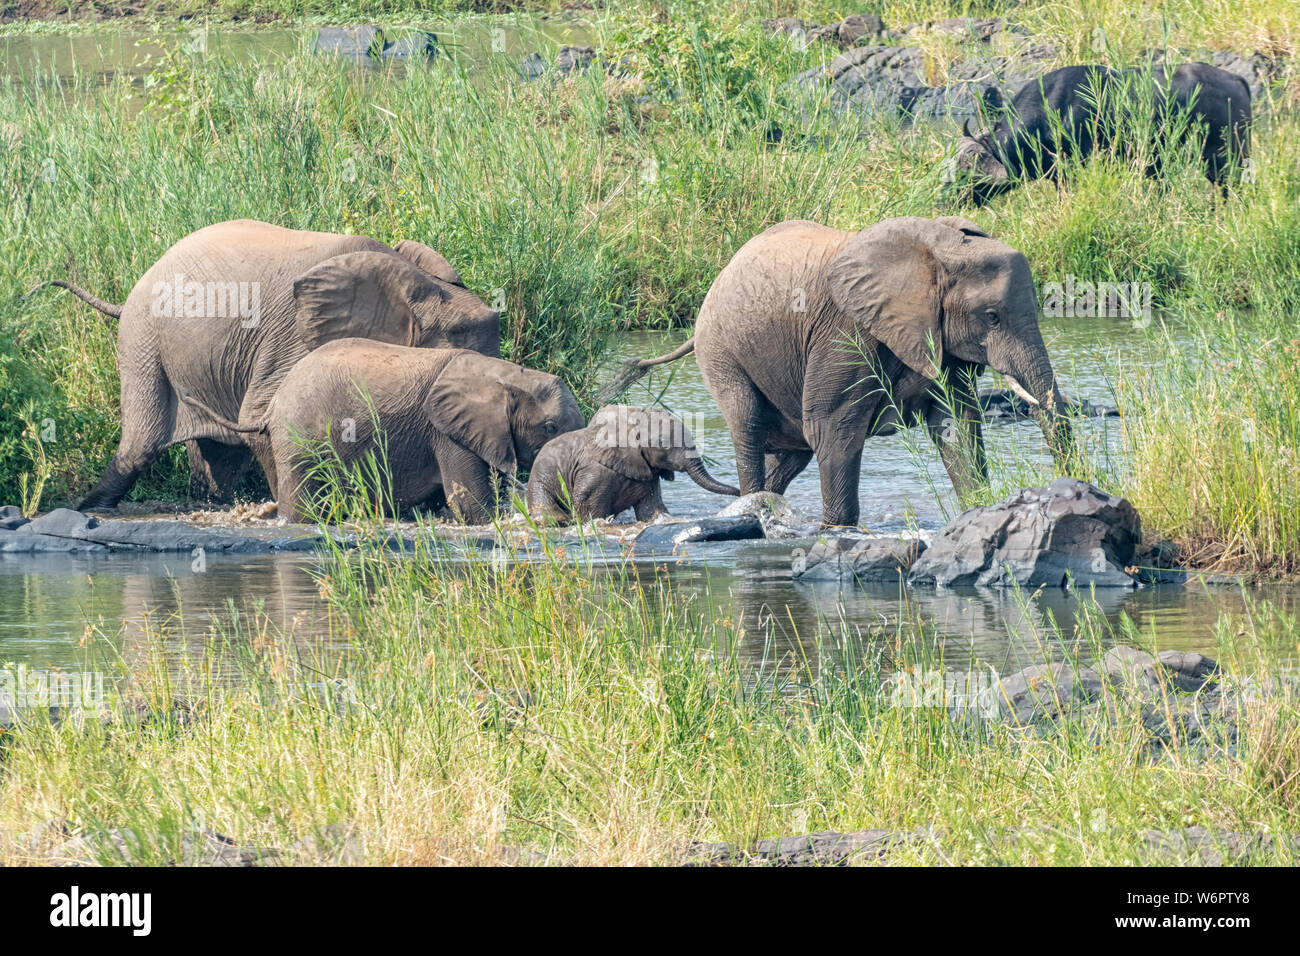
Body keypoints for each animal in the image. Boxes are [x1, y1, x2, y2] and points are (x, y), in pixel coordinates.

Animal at [54, 219, 500, 510]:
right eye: (457, 337)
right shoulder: (293, 336)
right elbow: (262, 416)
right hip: (142, 337)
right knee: (140, 447)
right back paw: (87, 509)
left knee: (219, 459)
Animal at [178, 339, 585, 524]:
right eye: (549, 427)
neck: (506, 374)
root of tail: (275, 403)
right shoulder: (446, 431)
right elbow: (468, 504)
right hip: (301, 437)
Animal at [525, 406, 740, 522]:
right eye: (664, 445)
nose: (739, 491)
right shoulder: (596, 471)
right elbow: (587, 506)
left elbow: (651, 510)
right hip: (541, 478)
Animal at [609, 216, 1074, 528]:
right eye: (992, 317)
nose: (1071, 480)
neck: (936, 250)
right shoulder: (846, 331)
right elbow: (834, 428)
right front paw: (838, 529)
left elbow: (957, 426)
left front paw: (977, 510)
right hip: (723, 351)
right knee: (749, 427)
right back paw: (750, 508)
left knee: (791, 453)